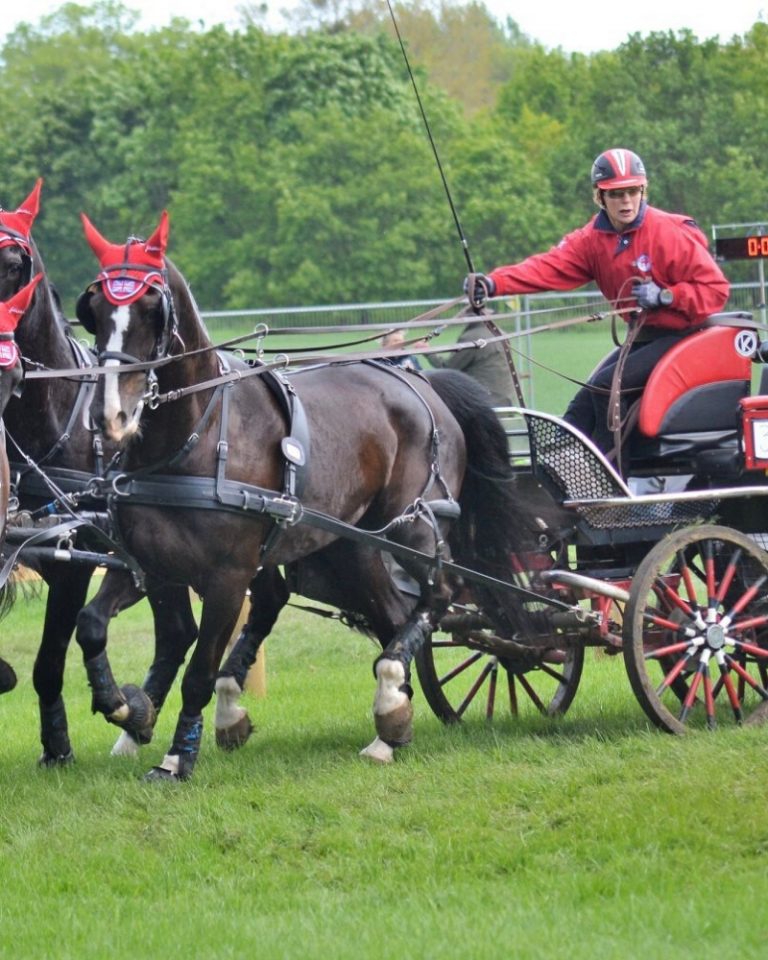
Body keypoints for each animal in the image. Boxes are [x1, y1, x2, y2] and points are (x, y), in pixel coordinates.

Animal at [0, 182, 194, 761]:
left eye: (12, 263)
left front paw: (58, 745)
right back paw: (138, 726)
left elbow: (51, 658)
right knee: (179, 631)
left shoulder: (79, 562)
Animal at [74, 209, 543, 781]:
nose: (109, 417)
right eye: (95, 310)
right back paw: (391, 724)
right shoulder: (150, 565)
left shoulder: (228, 578)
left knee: (439, 594)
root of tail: (424, 385)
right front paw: (126, 708)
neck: (195, 435)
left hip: (412, 527)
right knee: (393, 615)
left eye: (150, 309)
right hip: (356, 545)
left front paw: (177, 758)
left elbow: (199, 670)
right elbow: (93, 625)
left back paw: (391, 698)